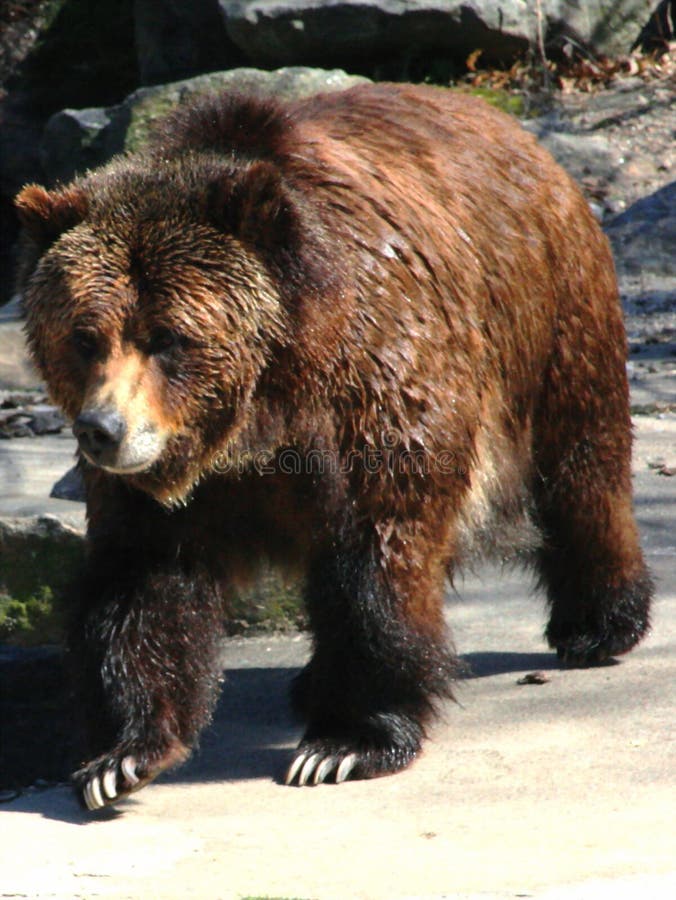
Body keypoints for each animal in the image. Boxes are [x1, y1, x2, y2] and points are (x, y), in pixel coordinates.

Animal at [15, 83, 652, 811]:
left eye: (167, 337)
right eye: (84, 336)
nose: (104, 429)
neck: (261, 414)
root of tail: (511, 130)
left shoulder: (376, 392)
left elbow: (378, 556)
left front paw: (345, 743)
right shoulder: (159, 490)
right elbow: (141, 584)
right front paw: (119, 757)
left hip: (550, 316)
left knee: (580, 465)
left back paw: (599, 624)